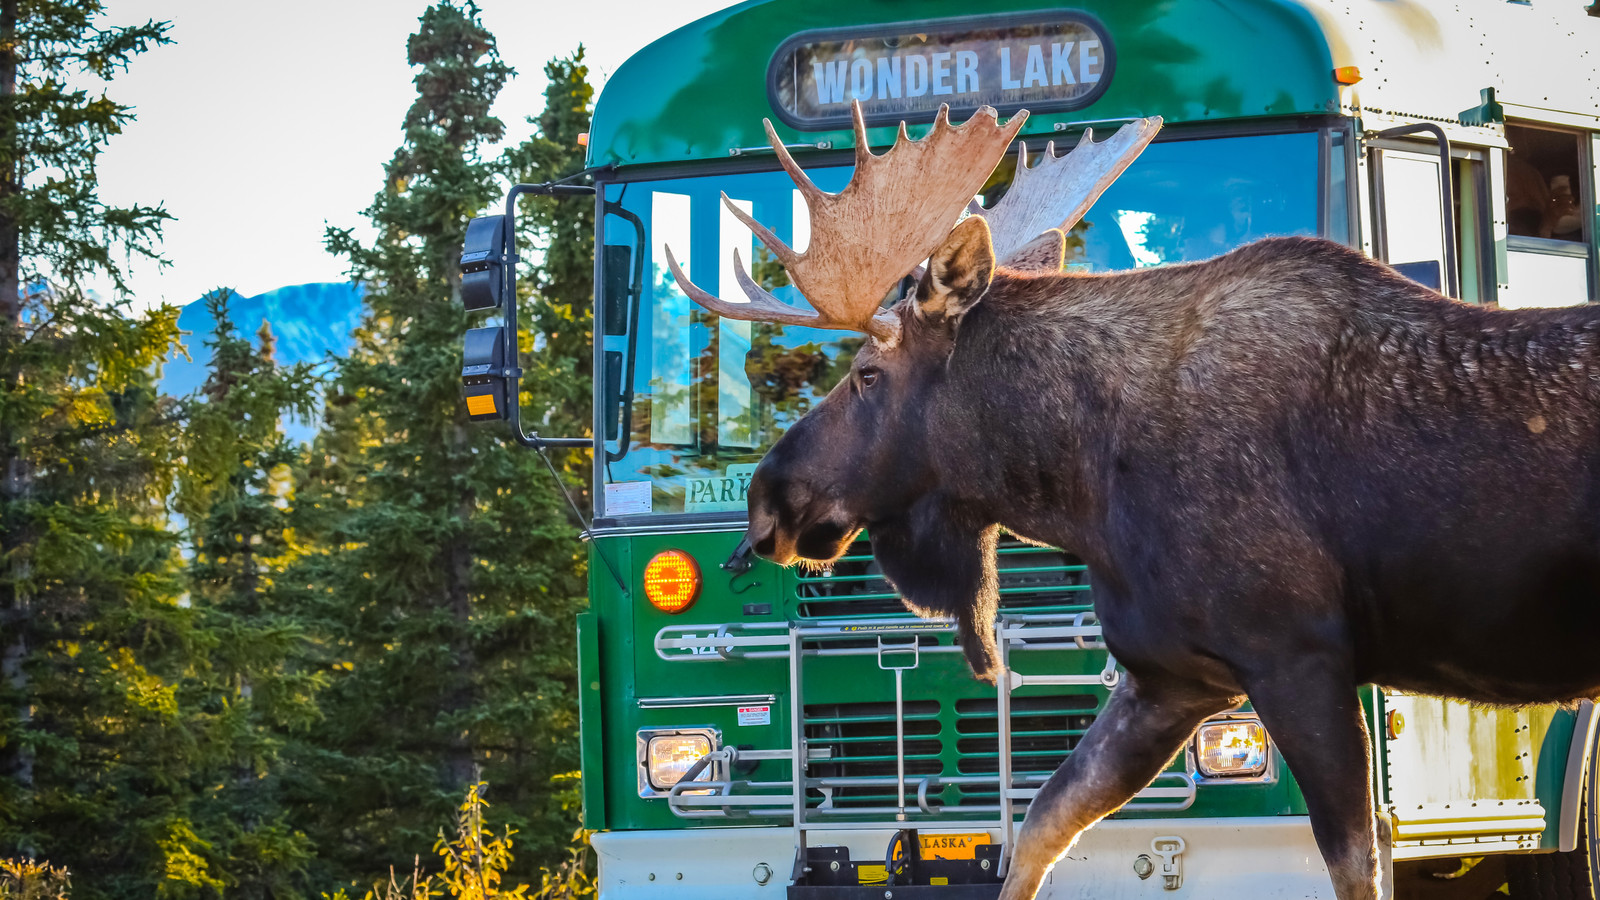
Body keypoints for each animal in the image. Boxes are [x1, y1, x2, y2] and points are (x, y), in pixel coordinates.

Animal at [665, 100, 1600, 900]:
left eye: (865, 374)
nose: (767, 500)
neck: (1079, 482)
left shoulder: (1298, 657)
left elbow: (1355, 862)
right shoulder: (1168, 676)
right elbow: (1042, 823)